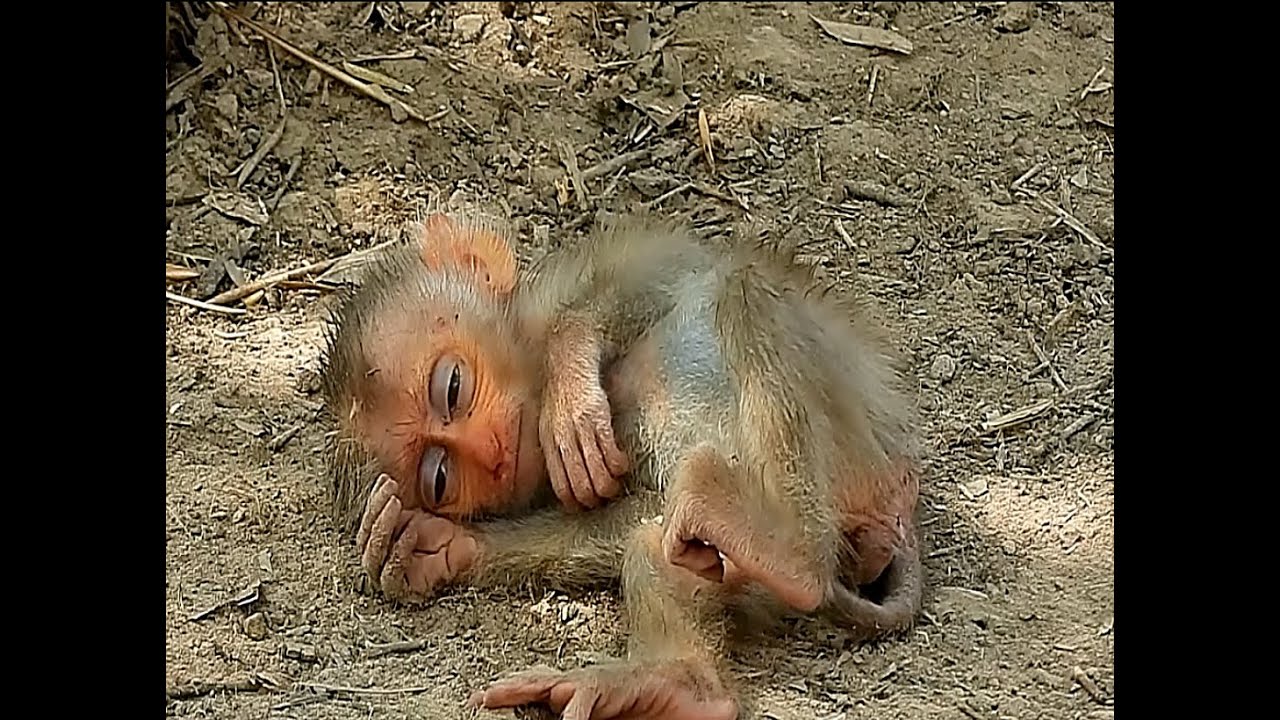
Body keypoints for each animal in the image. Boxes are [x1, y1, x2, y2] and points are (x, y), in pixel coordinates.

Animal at [318, 212, 924, 720]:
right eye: (439, 476)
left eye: (452, 387)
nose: (490, 452)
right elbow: (644, 509)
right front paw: (439, 545)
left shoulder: (560, 292)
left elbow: (659, 269)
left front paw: (569, 379)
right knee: (662, 541)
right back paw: (678, 684)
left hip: (853, 441)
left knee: (744, 290)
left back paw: (793, 549)